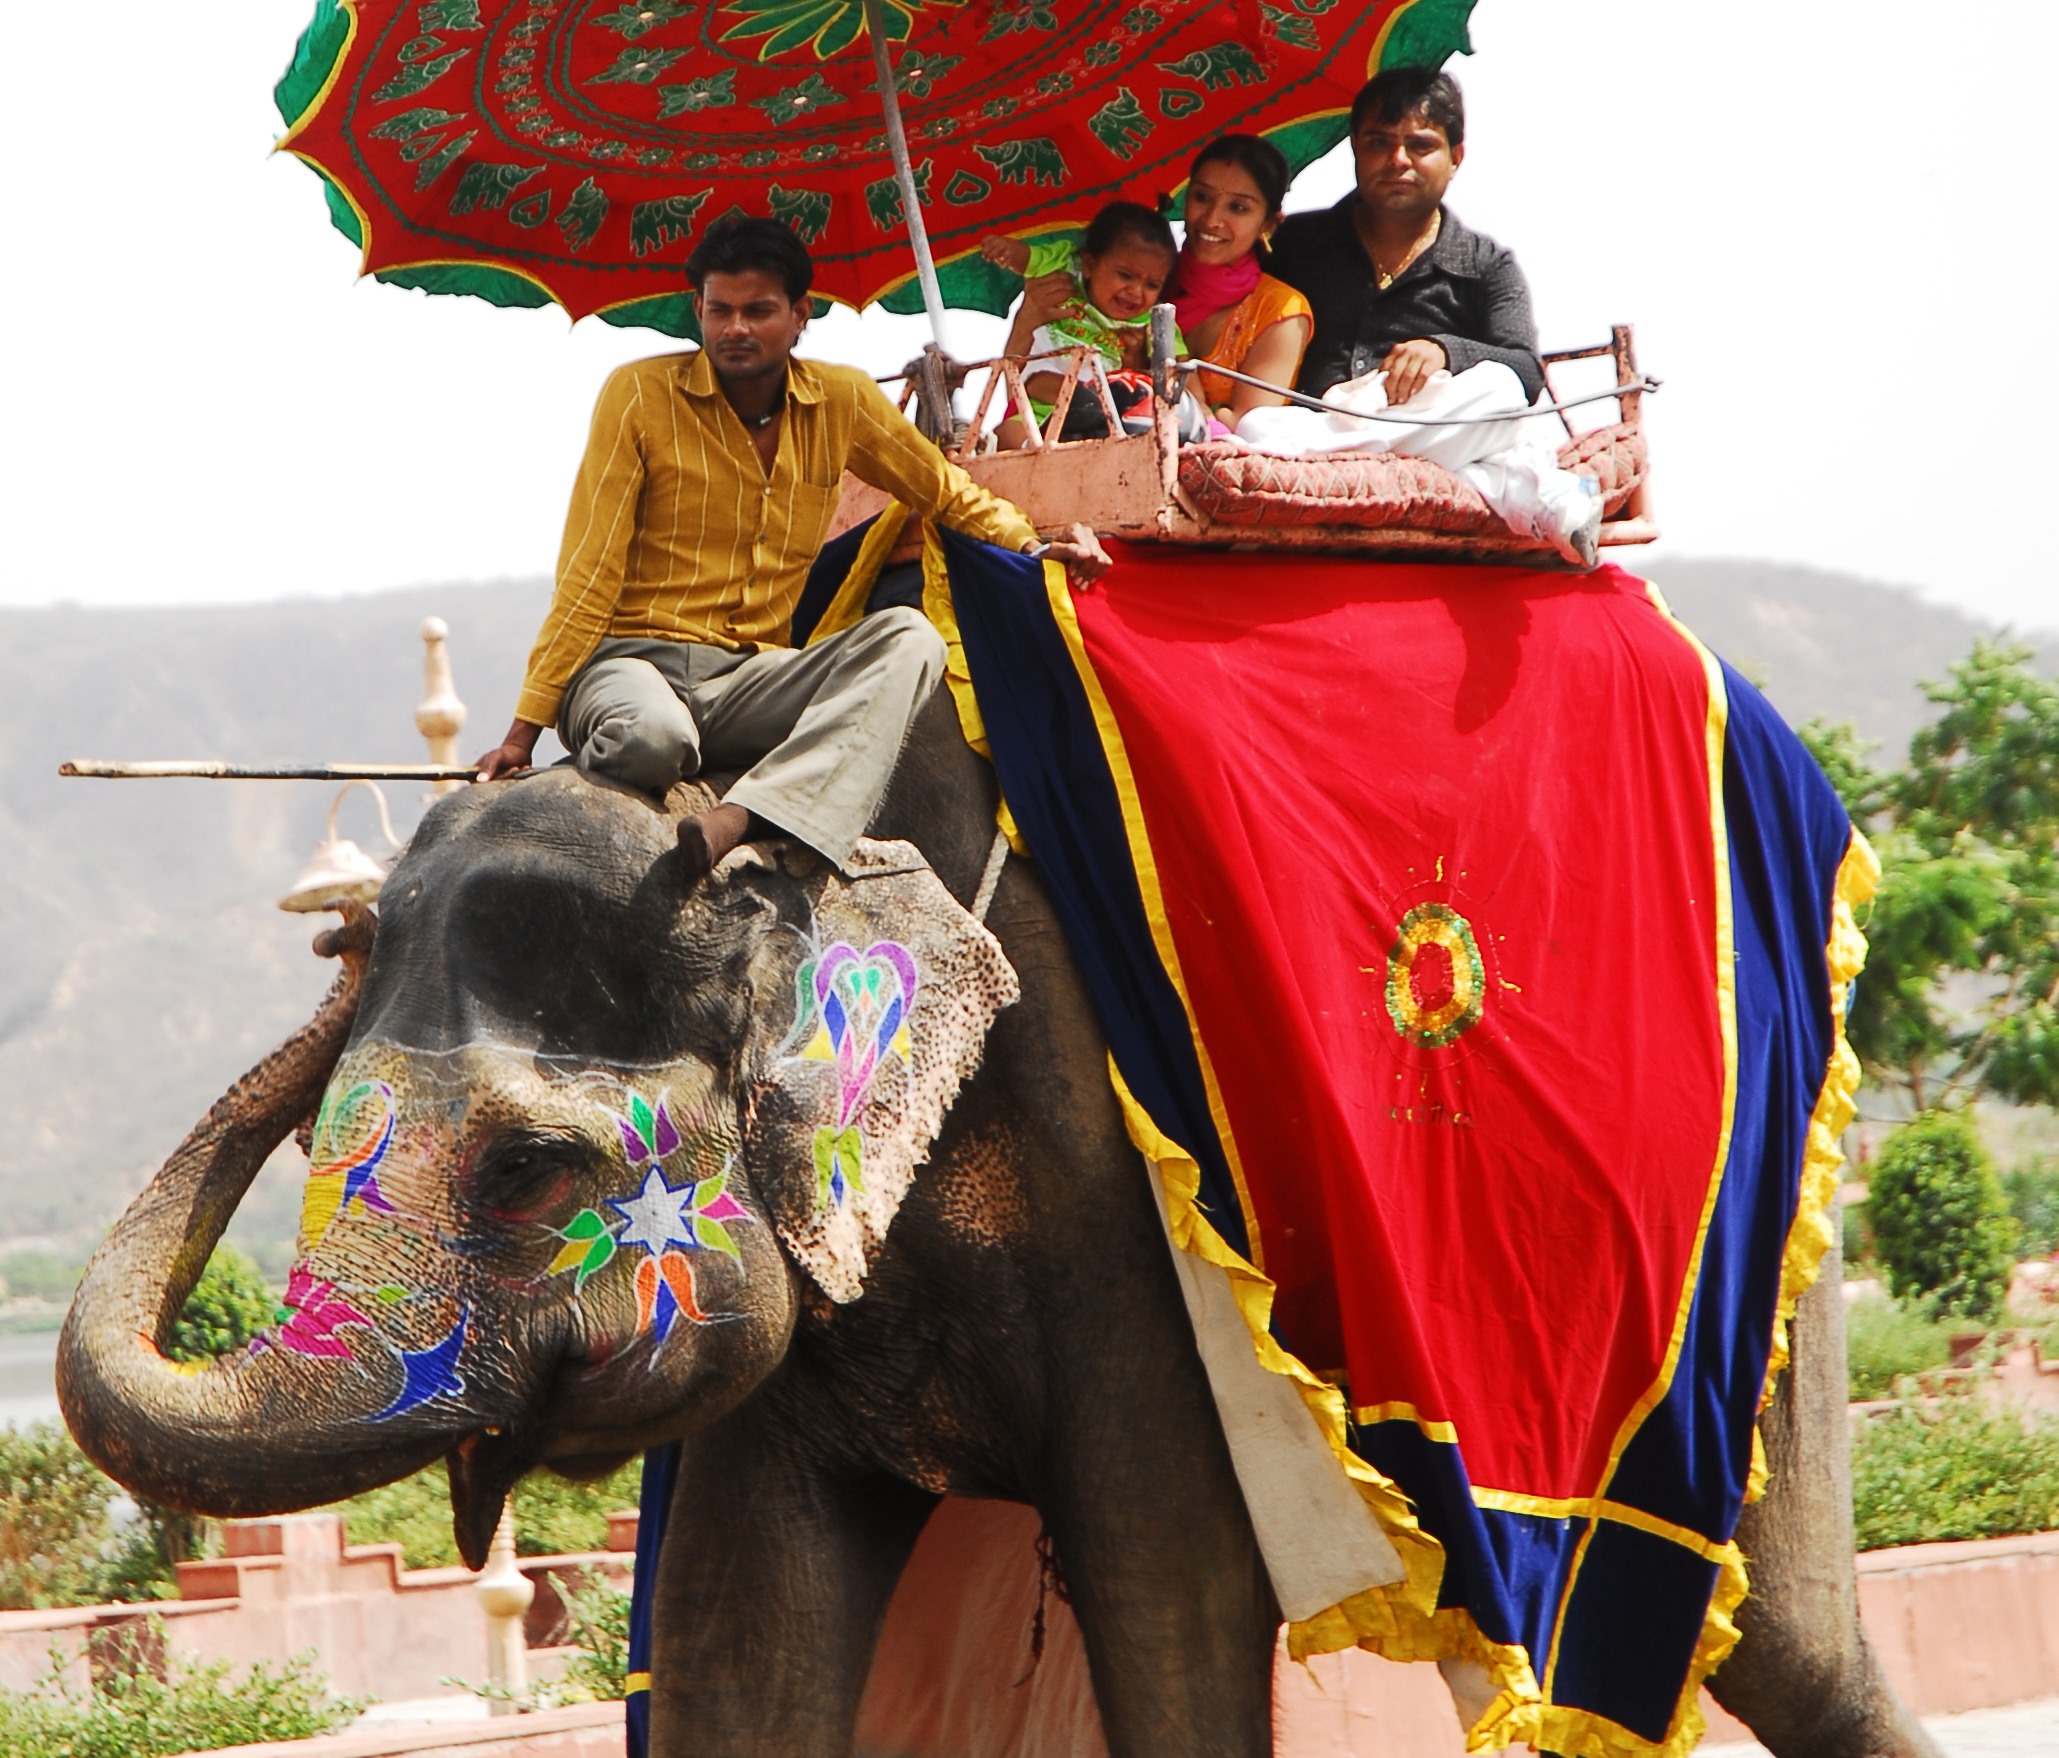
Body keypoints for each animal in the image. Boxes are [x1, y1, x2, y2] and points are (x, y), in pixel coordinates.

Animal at [59, 692, 1939, 1758]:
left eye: (526, 1166)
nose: (339, 926)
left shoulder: (1127, 1212)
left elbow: (1165, 1585)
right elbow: (741, 1640)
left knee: (1784, 1654)